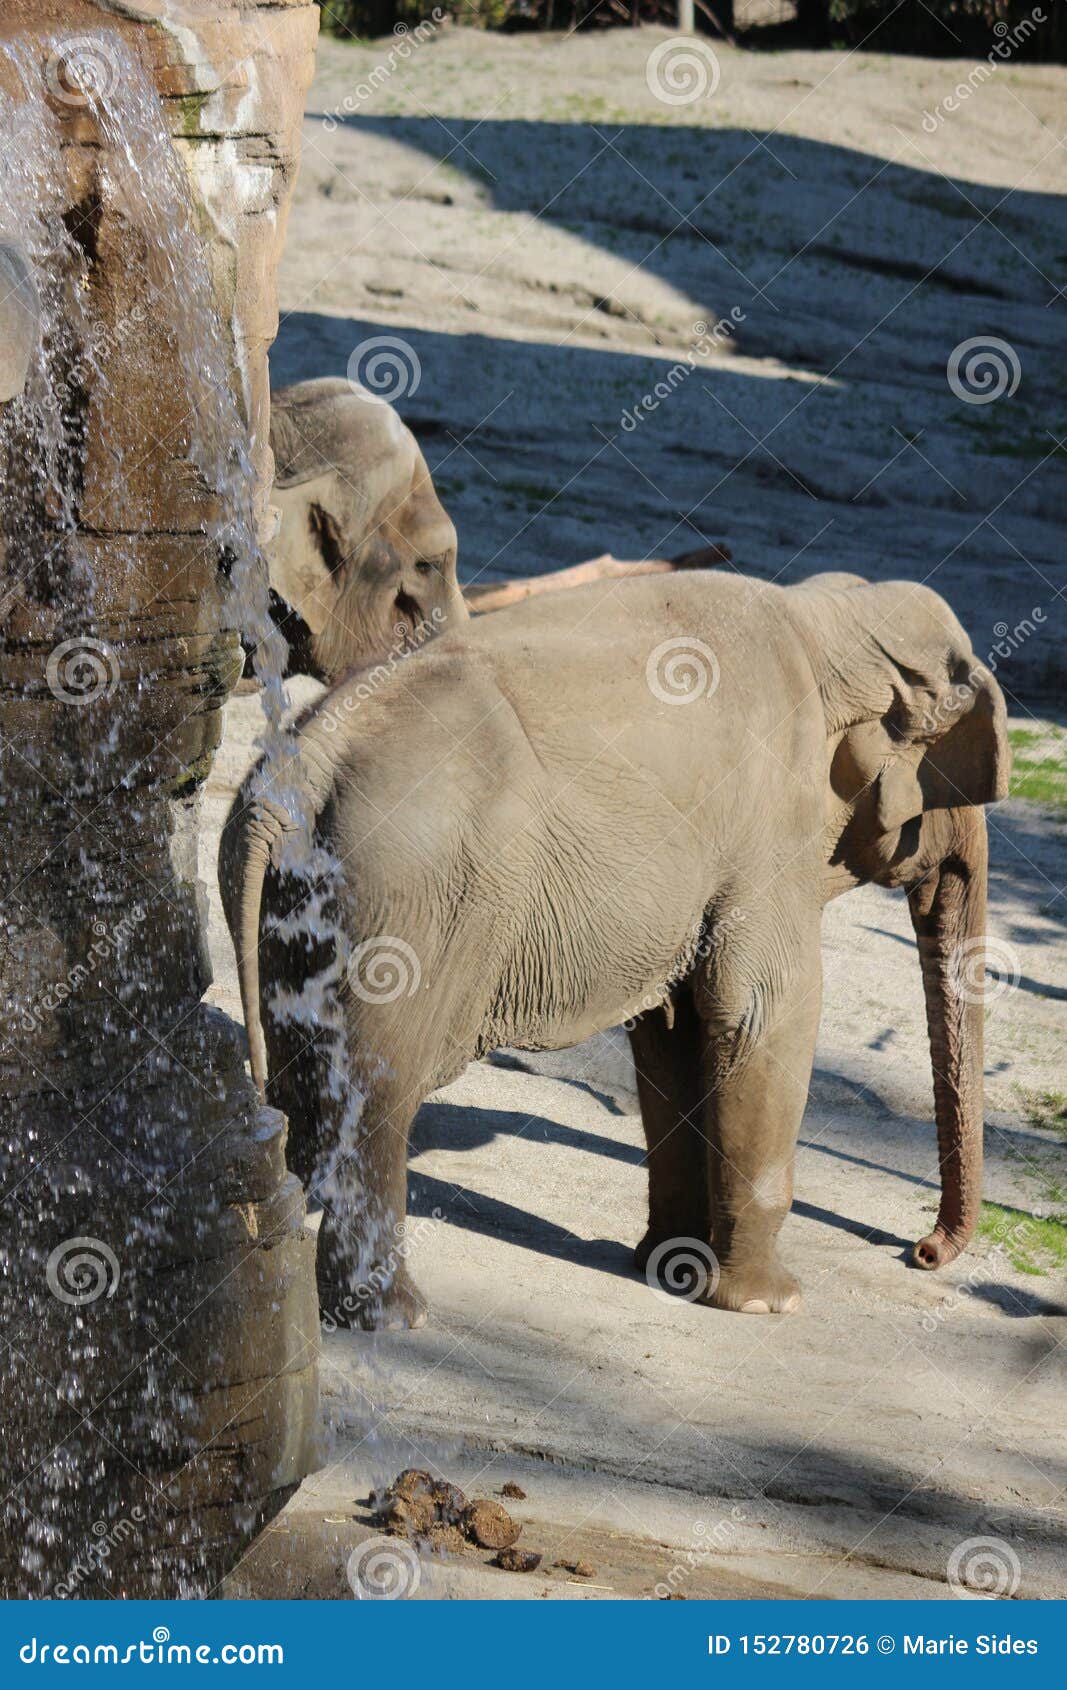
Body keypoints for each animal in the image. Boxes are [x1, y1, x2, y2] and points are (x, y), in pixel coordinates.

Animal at [220, 568, 1008, 1328]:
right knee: (376, 1094)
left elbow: (673, 1031)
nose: (920, 1251)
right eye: (960, 785)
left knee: (307, 1077)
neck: (825, 618)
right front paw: (769, 1304)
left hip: (305, 902)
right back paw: (393, 1317)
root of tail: (304, 764)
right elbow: (765, 1013)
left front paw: (672, 1269)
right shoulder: (768, 832)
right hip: (406, 905)